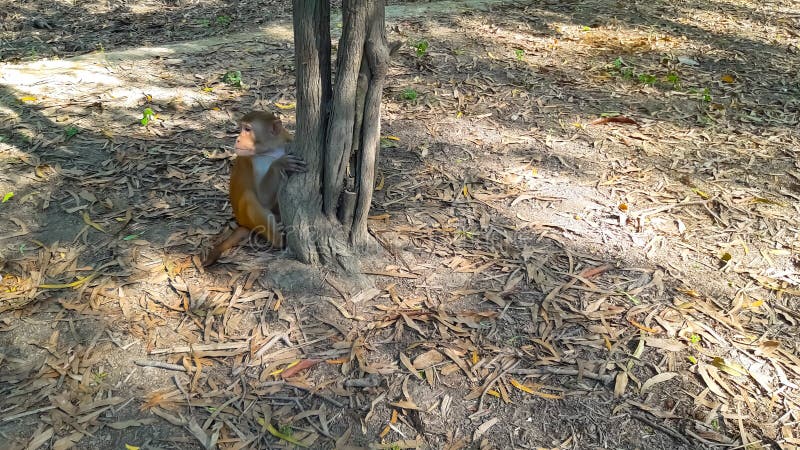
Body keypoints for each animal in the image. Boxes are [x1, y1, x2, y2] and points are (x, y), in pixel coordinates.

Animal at [202, 111, 305, 266]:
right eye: (241, 128)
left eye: (247, 129)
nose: (238, 139)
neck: (271, 150)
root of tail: (243, 223)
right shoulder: (255, 162)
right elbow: (263, 199)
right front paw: (279, 163)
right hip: (248, 220)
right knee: (249, 197)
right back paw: (278, 239)